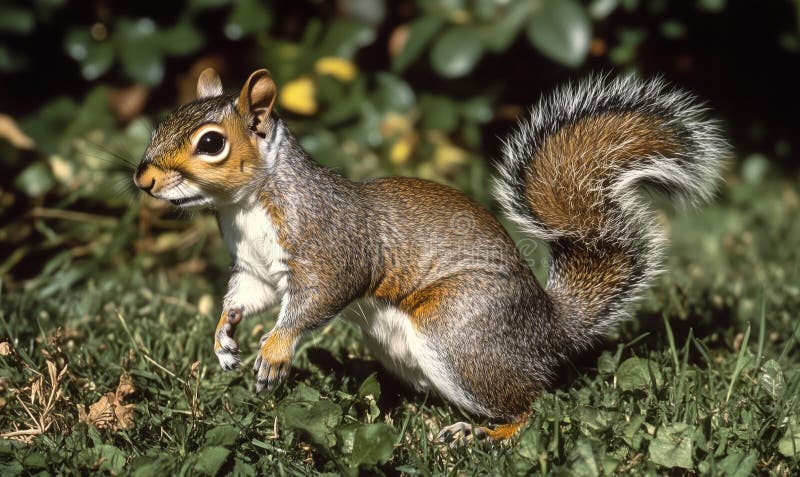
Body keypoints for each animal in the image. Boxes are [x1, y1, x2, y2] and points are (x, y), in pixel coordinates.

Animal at [134, 68, 727, 442]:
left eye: (212, 143)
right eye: (162, 122)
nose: (143, 180)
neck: (246, 206)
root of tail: (547, 326)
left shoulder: (330, 246)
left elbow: (318, 298)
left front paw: (275, 352)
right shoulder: (256, 270)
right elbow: (245, 299)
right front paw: (223, 337)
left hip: (458, 330)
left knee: (533, 403)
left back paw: (483, 434)